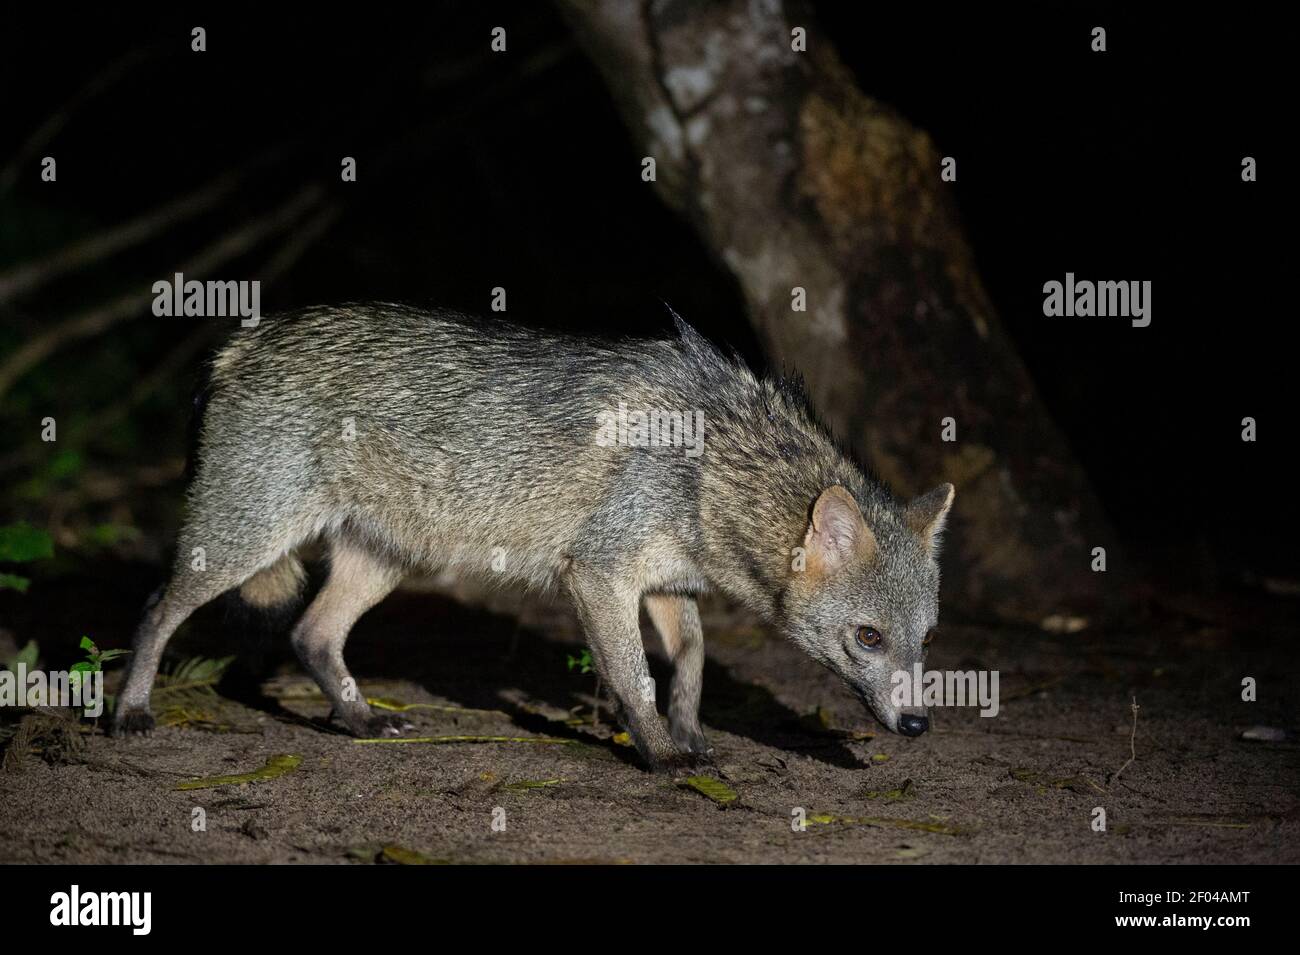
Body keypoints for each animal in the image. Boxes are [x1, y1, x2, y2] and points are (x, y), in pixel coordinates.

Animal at [112, 303, 954, 771]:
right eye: (868, 637)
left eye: (925, 640)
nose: (919, 725)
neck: (711, 462)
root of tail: (240, 341)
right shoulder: (599, 573)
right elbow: (634, 677)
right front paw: (661, 755)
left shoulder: (666, 585)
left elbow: (690, 662)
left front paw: (688, 732)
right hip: (242, 543)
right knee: (157, 606)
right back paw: (128, 711)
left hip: (381, 561)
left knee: (312, 635)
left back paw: (361, 720)